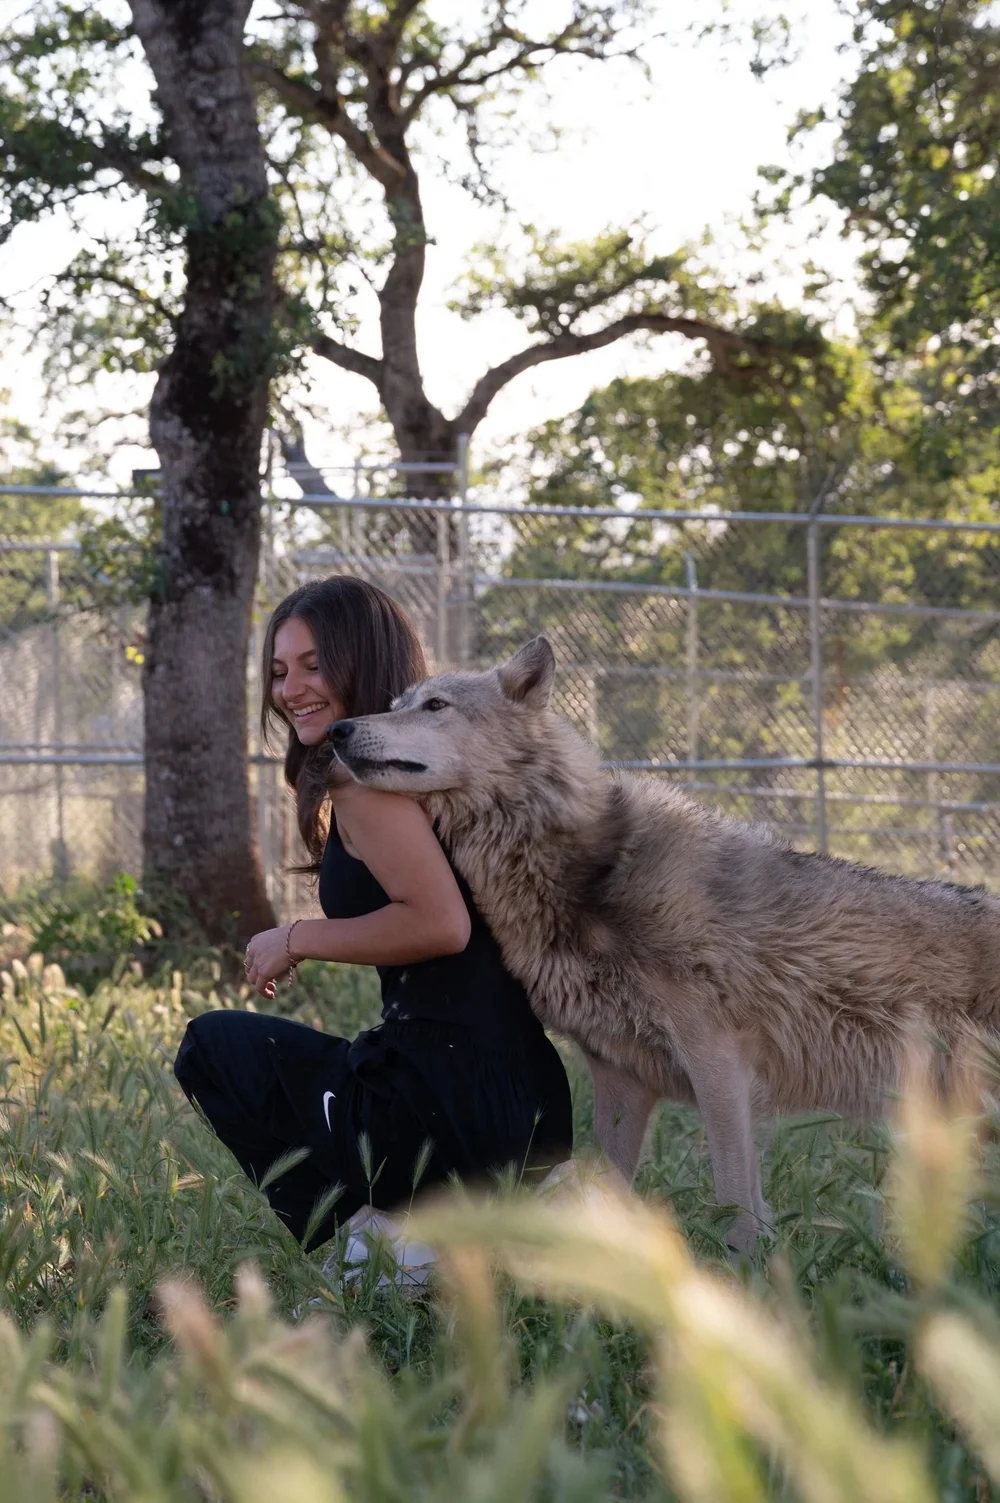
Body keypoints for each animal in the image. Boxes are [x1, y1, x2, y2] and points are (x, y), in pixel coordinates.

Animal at [328, 636, 1000, 1253]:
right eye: (396, 704)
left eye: (435, 705)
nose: (338, 729)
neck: (582, 878)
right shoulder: (620, 1077)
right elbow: (611, 1196)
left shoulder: (718, 1062)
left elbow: (738, 1206)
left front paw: (746, 1286)